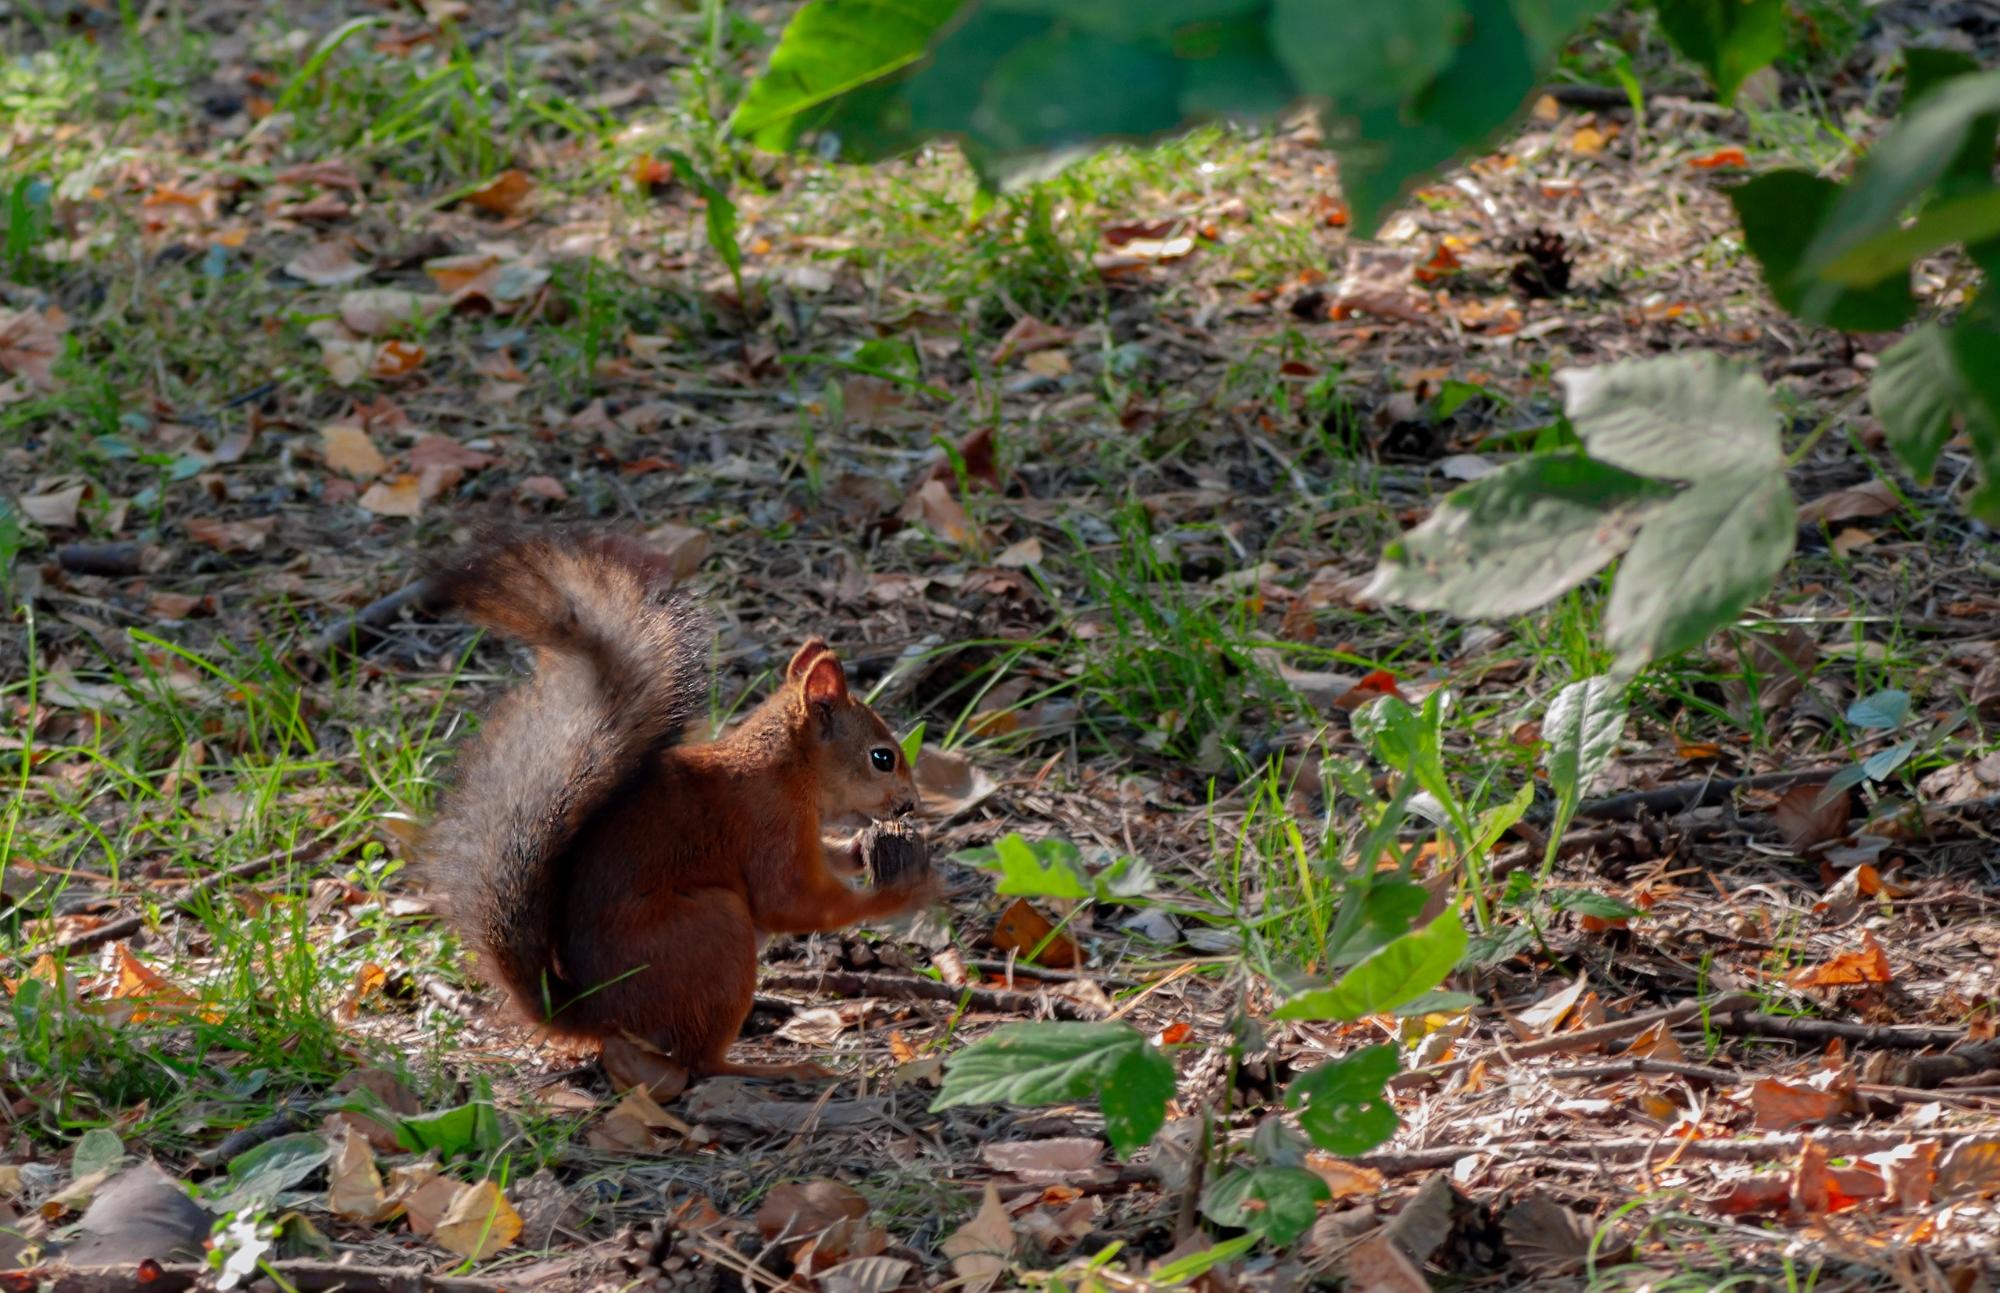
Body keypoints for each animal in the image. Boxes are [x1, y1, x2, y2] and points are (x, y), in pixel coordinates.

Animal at [422, 528, 936, 1080]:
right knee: (701, 1062)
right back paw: (777, 1069)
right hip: (713, 931)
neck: (787, 770)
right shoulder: (766, 825)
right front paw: (904, 894)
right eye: (882, 758)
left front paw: (863, 849)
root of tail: (596, 1013)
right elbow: (791, 901)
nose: (910, 805)